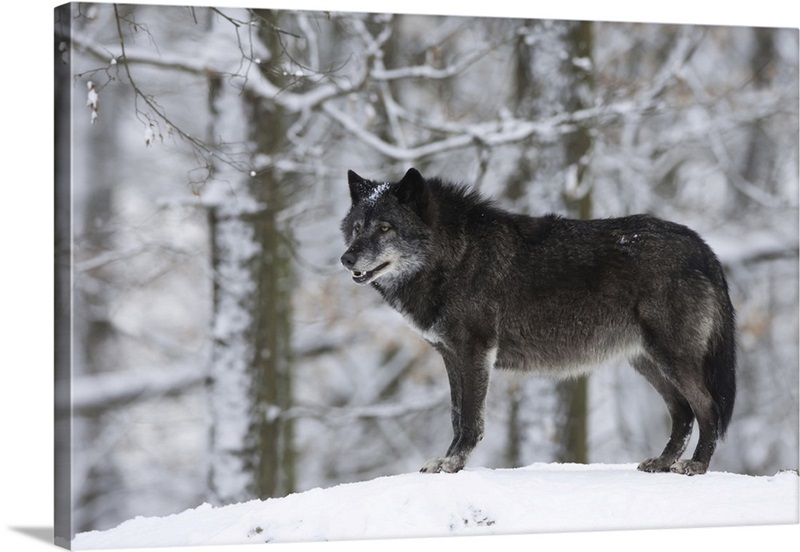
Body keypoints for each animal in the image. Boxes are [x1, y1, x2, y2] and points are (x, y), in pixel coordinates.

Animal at [340, 167, 736, 476]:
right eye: (357, 228)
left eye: (386, 228)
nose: (346, 259)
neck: (455, 256)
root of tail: (702, 246)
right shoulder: (450, 355)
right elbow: (456, 414)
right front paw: (448, 461)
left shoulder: (475, 352)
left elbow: (470, 419)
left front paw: (453, 464)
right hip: (647, 362)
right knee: (682, 413)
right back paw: (663, 462)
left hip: (671, 359)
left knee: (707, 407)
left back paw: (696, 465)